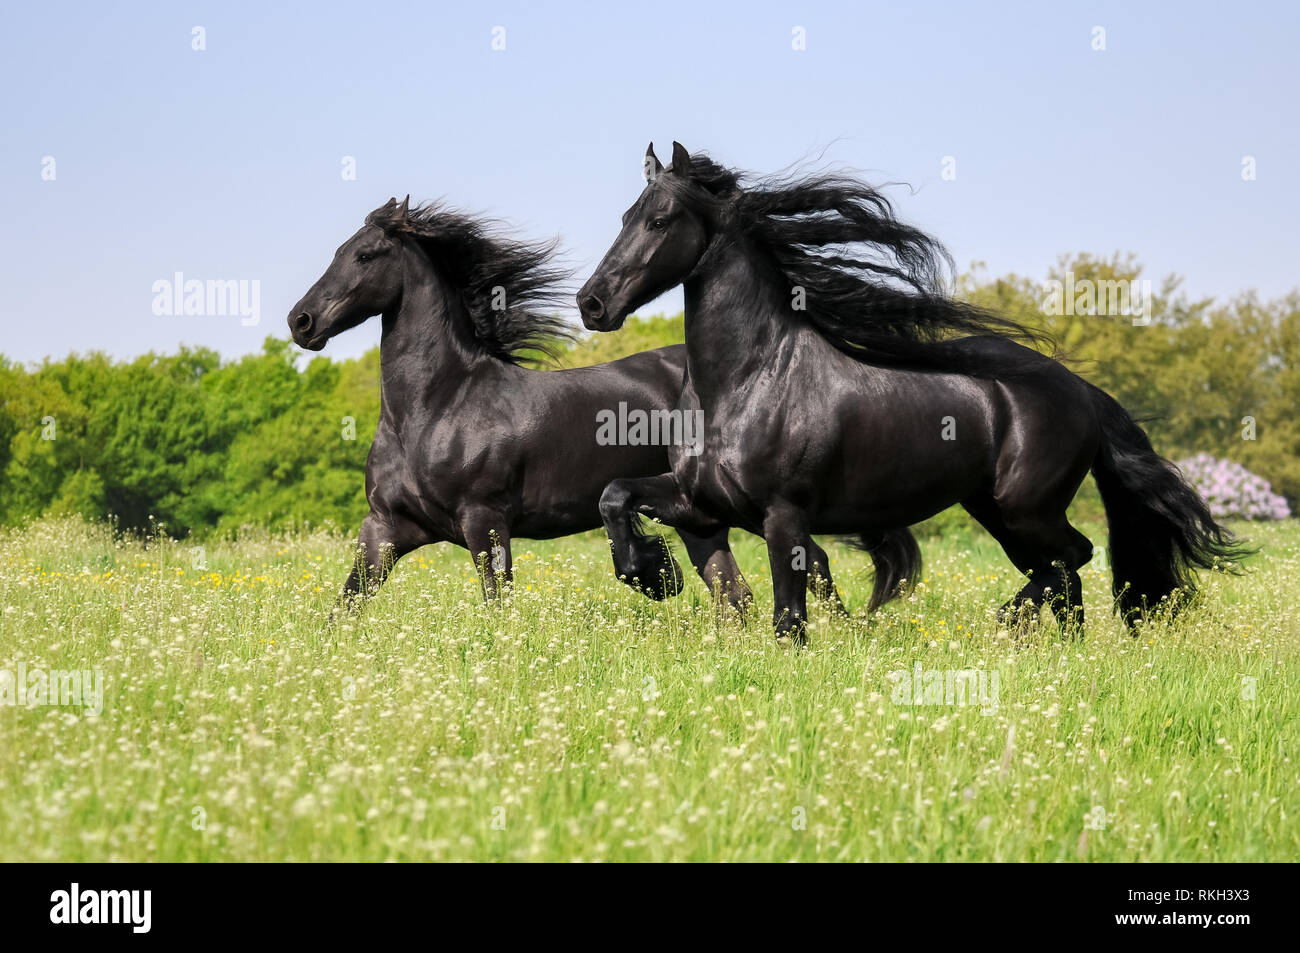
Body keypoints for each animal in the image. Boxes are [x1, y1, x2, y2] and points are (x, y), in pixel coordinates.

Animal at [286, 197, 905, 614]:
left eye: (366, 255)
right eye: (339, 250)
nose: (301, 321)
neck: (435, 408)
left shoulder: (485, 522)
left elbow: (497, 607)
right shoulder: (385, 529)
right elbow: (345, 608)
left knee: (810, 563)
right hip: (706, 517)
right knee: (738, 592)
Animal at [576, 143, 1246, 643]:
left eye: (659, 220)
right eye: (626, 217)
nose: (592, 304)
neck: (745, 382)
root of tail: (1081, 390)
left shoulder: (783, 517)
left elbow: (789, 619)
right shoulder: (703, 502)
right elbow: (616, 496)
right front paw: (647, 572)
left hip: (1026, 509)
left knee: (1072, 559)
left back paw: (1010, 624)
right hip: (998, 513)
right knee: (1065, 576)